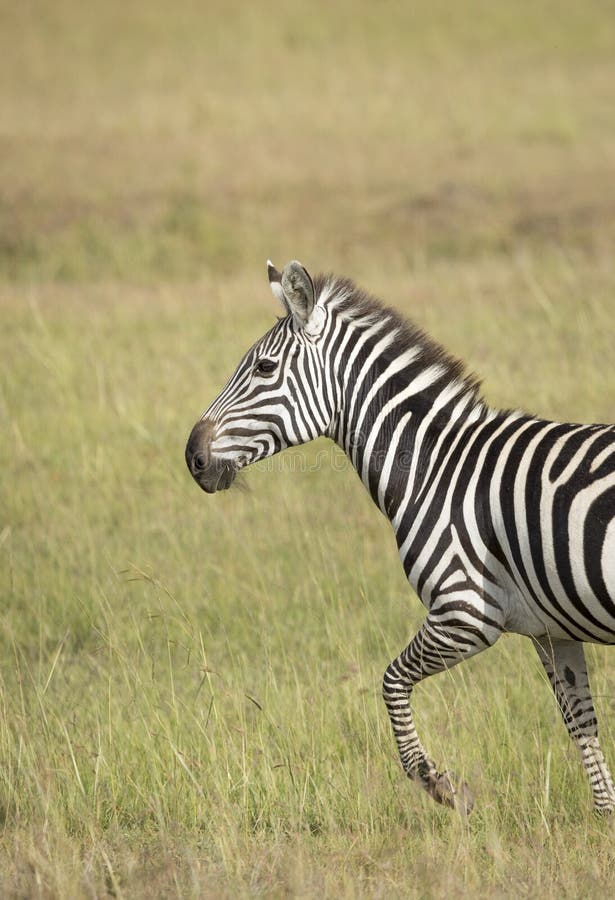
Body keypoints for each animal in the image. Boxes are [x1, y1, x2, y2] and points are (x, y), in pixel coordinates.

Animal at [185, 259, 615, 815]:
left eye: (263, 368)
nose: (192, 457)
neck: (437, 468)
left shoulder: (466, 613)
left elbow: (391, 681)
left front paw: (438, 782)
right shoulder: (550, 629)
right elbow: (580, 721)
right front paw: (604, 817)